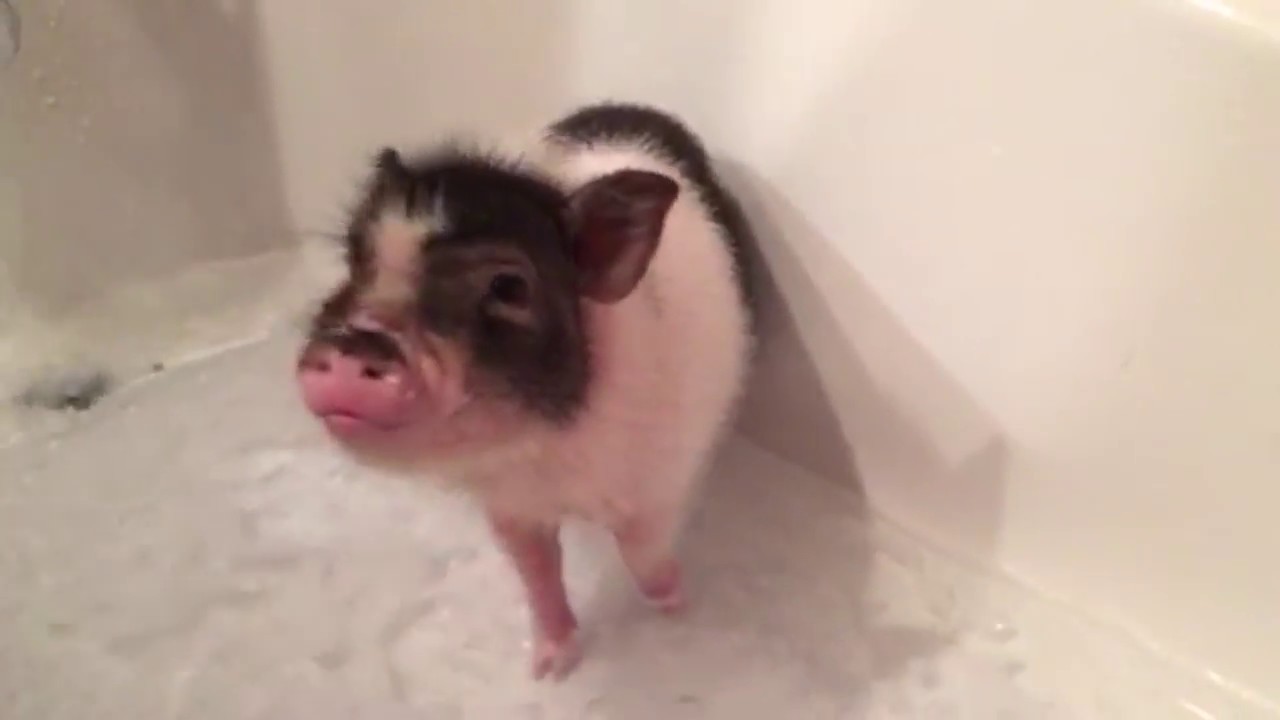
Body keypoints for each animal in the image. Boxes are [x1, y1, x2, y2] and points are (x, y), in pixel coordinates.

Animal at [295, 102, 756, 680]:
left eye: (510, 287)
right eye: (356, 260)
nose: (354, 342)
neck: (548, 454)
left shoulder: (661, 482)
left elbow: (640, 550)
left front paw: (674, 607)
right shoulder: (507, 503)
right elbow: (535, 568)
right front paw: (550, 669)